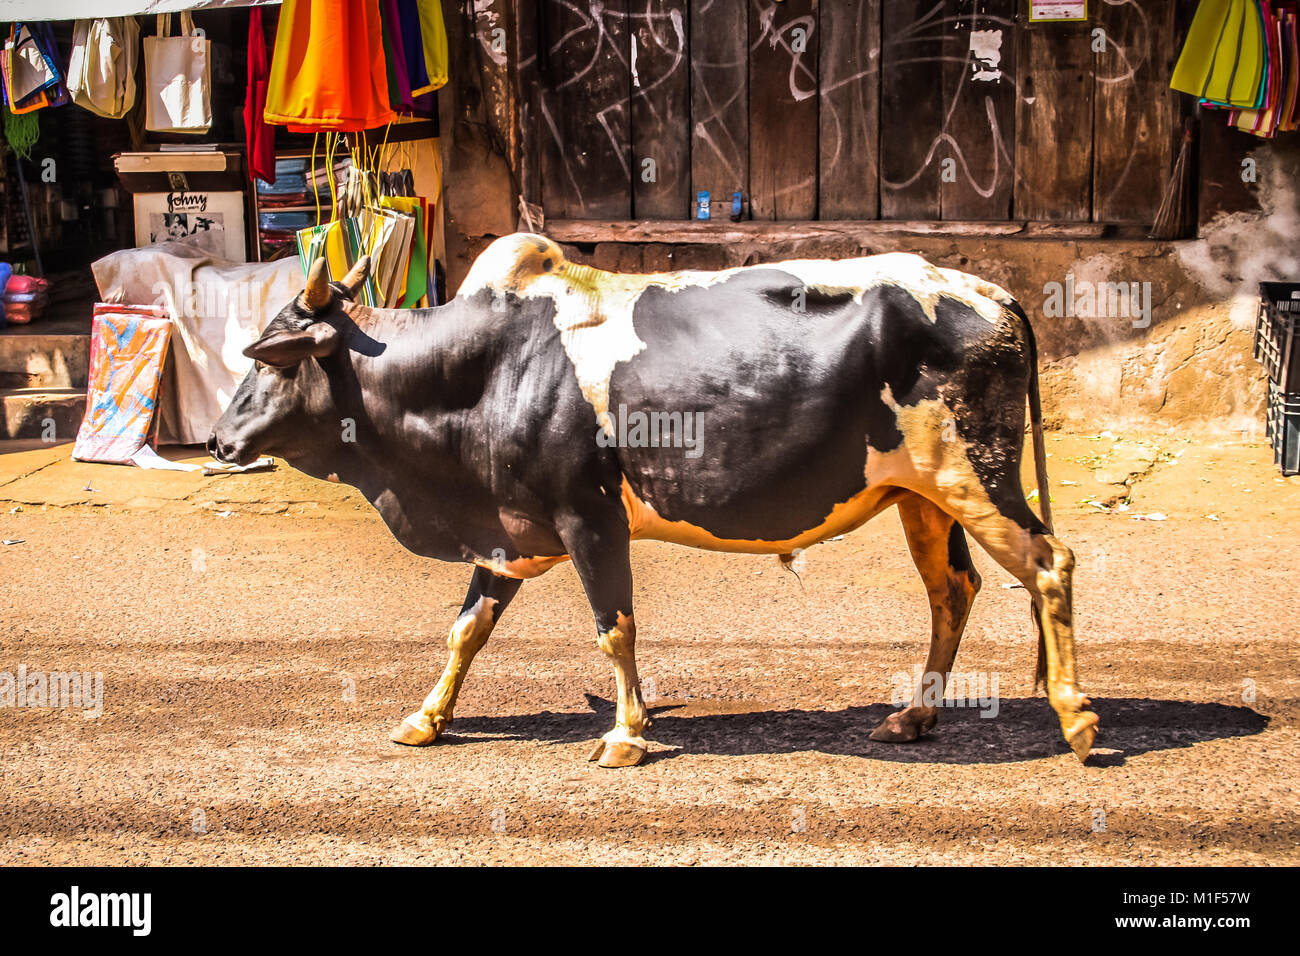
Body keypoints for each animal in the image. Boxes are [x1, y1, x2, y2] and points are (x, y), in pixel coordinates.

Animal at [209, 233, 1098, 768]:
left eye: (267, 361)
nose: (218, 441)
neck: (486, 371)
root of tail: (987, 290)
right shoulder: (507, 526)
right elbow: (466, 630)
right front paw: (425, 719)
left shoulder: (589, 518)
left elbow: (615, 628)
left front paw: (628, 734)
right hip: (920, 494)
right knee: (954, 590)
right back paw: (915, 716)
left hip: (975, 476)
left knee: (1049, 562)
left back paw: (1077, 718)